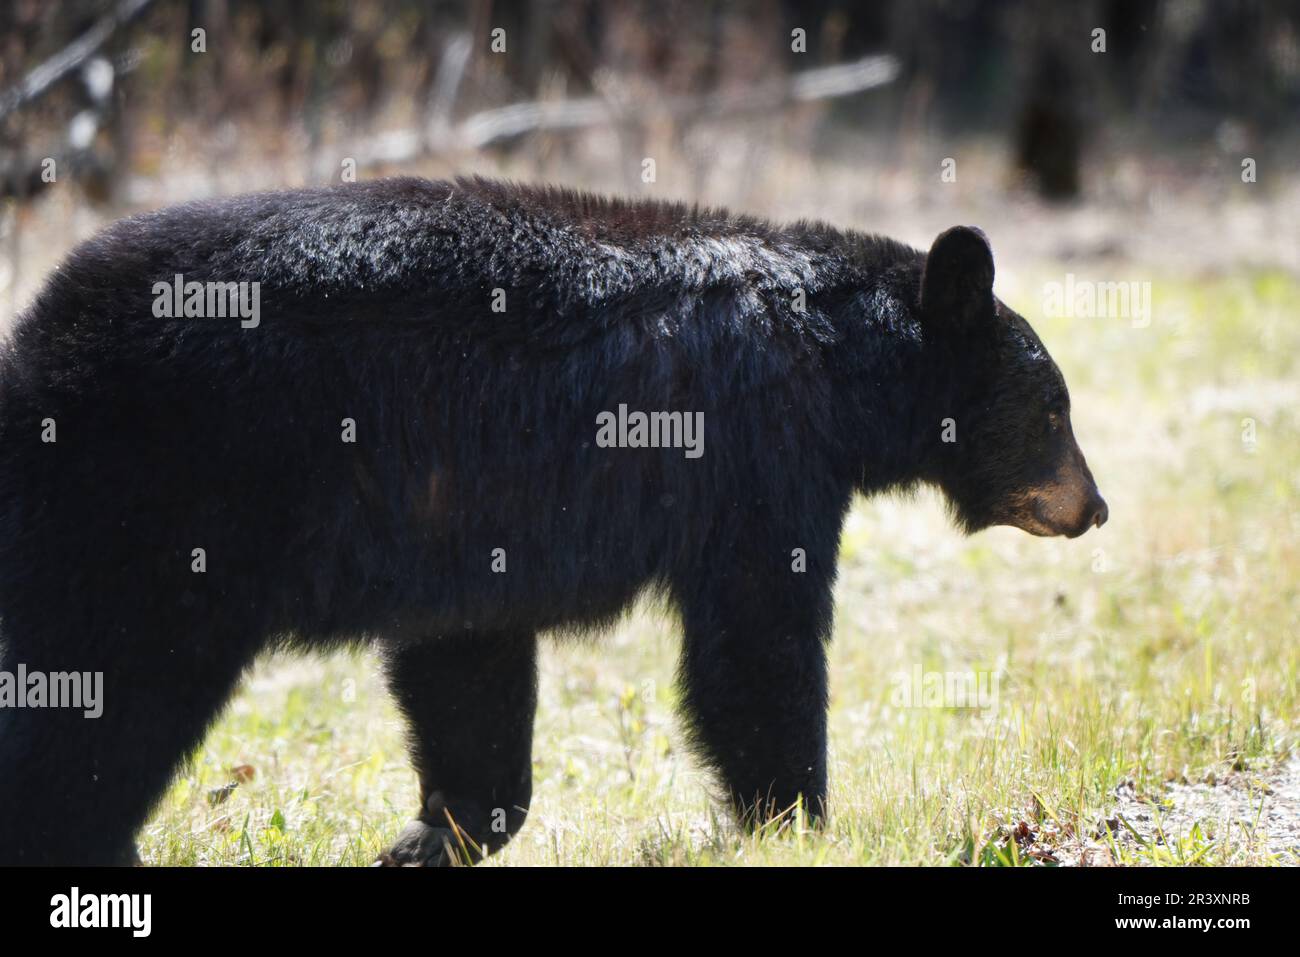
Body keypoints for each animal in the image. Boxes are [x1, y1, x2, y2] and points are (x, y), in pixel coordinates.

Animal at [0, 176, 1106, 866]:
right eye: (1055, 410)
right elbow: (757, 644)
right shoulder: (759, 457)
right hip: (156, 510)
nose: (1093, 506)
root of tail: (35, 343)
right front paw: (799, 822)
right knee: (99, 695)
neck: (834, 358)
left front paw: (429, 837)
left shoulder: (469, 523)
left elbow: (469, 668)